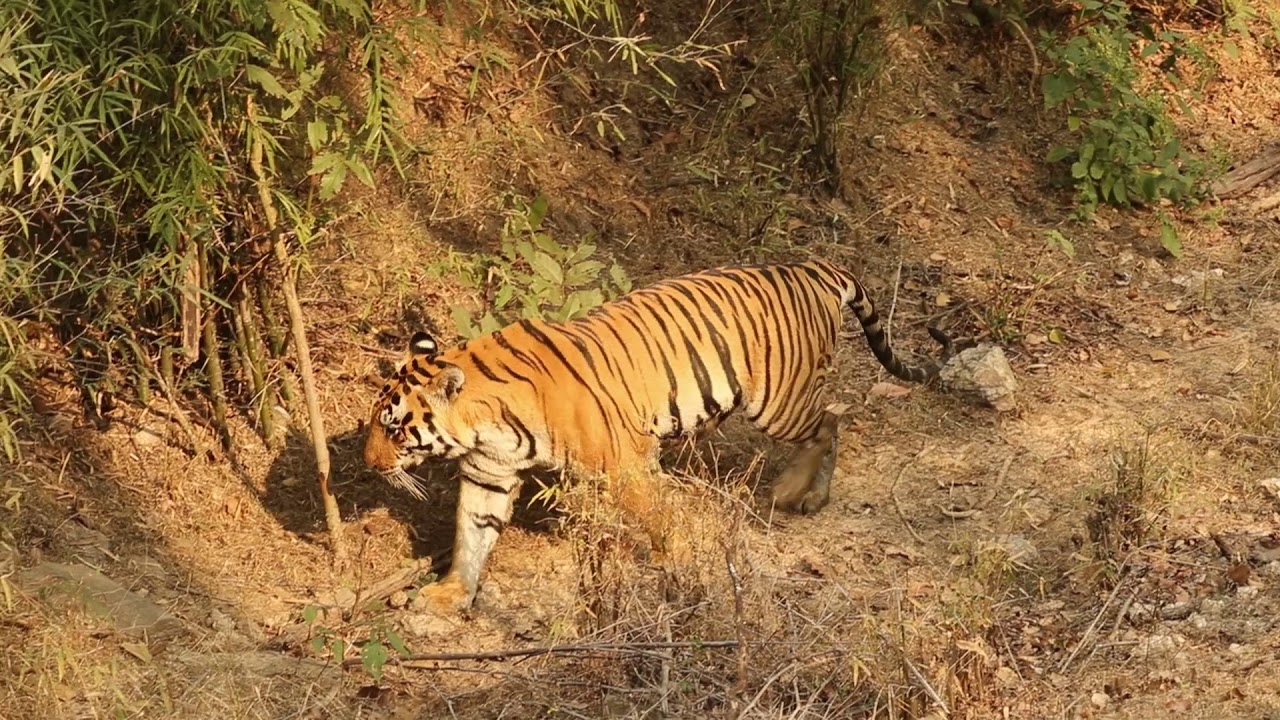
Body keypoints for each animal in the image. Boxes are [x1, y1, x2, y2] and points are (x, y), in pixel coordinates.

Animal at [362, 258, 956, 614]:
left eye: (393, 427)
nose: (369, 465)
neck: (485, 426)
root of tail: (810, 265)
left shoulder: (627, 465)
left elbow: (658, 519)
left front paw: (680, 574)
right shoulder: (489, 474)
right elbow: (472, 534)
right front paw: (450, 593)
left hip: (778, 402)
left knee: (830, 422)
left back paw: (798, 493)